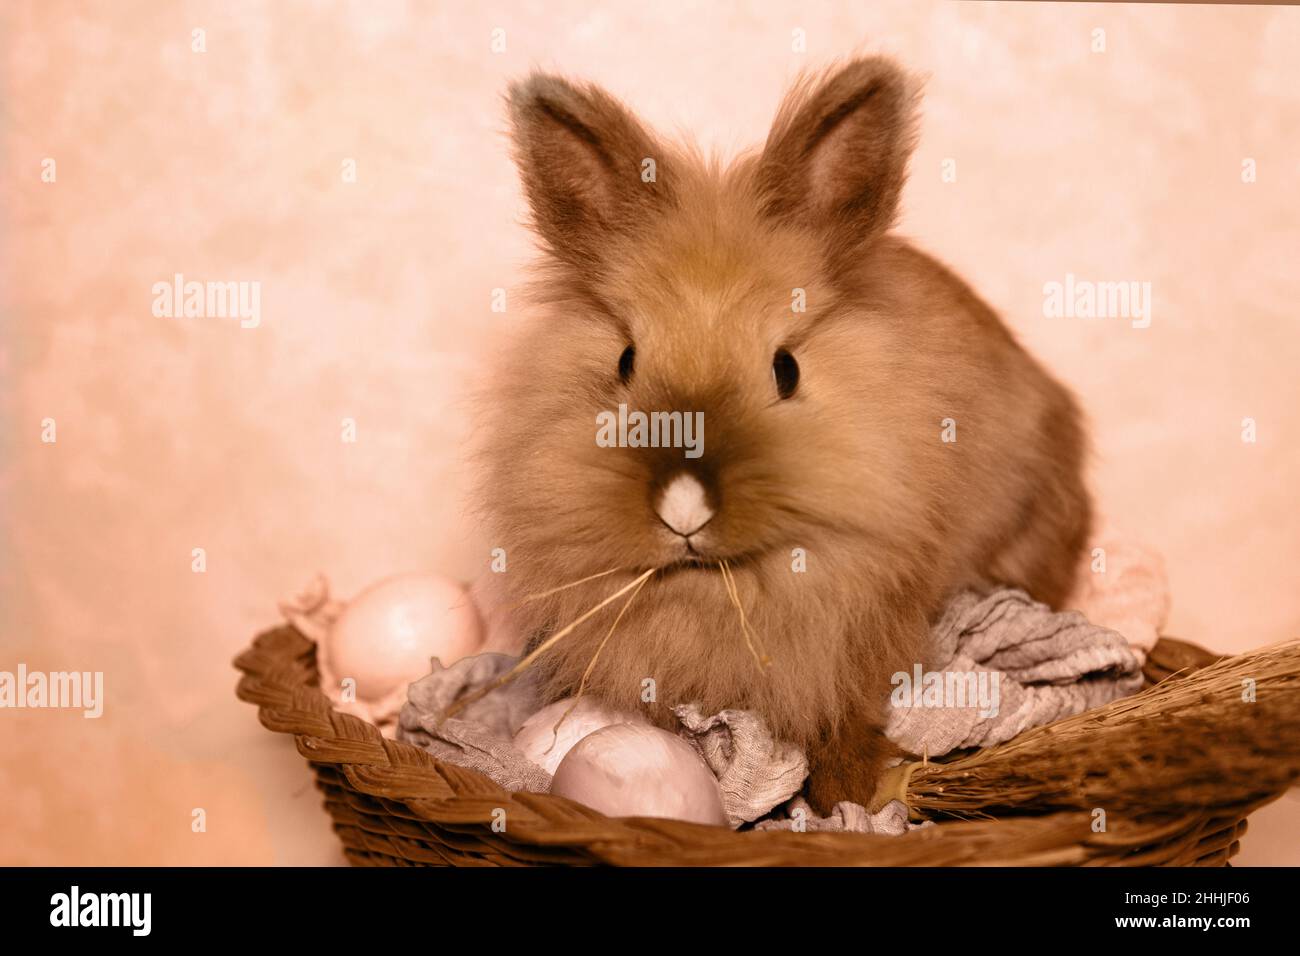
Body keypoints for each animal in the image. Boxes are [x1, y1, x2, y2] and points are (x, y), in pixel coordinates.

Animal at [476, 56, 1091, 815]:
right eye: (624, 361)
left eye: (786, 369)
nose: (684, 503)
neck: (723, 589)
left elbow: (849, 714)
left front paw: (846, 795)